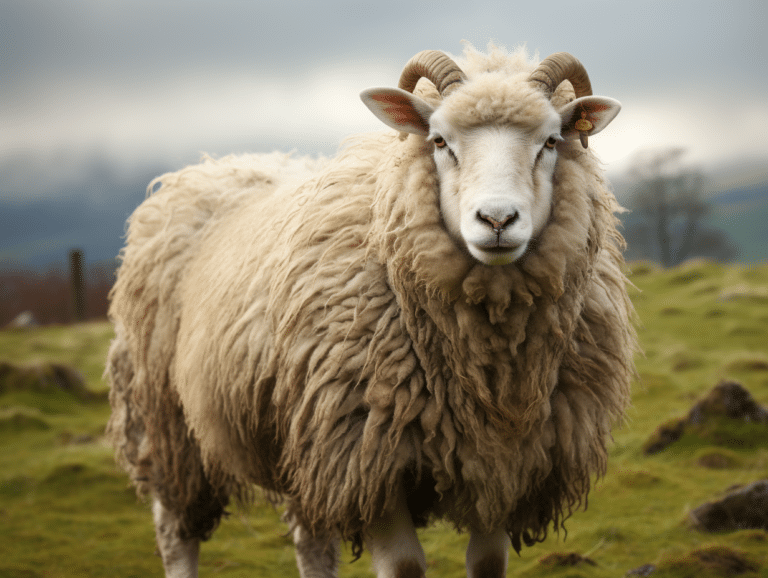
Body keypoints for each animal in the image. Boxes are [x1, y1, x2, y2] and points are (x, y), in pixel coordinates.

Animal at [106, 43, 635, 578]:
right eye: (439, 141)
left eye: (550, 142)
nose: (497, 220)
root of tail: (211, 166)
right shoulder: (366, 455)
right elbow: (403, 566)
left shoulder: (505, 466)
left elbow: (487, 563)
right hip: (169, 419)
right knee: (176, 531)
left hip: (299, 433)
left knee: (312, 540)